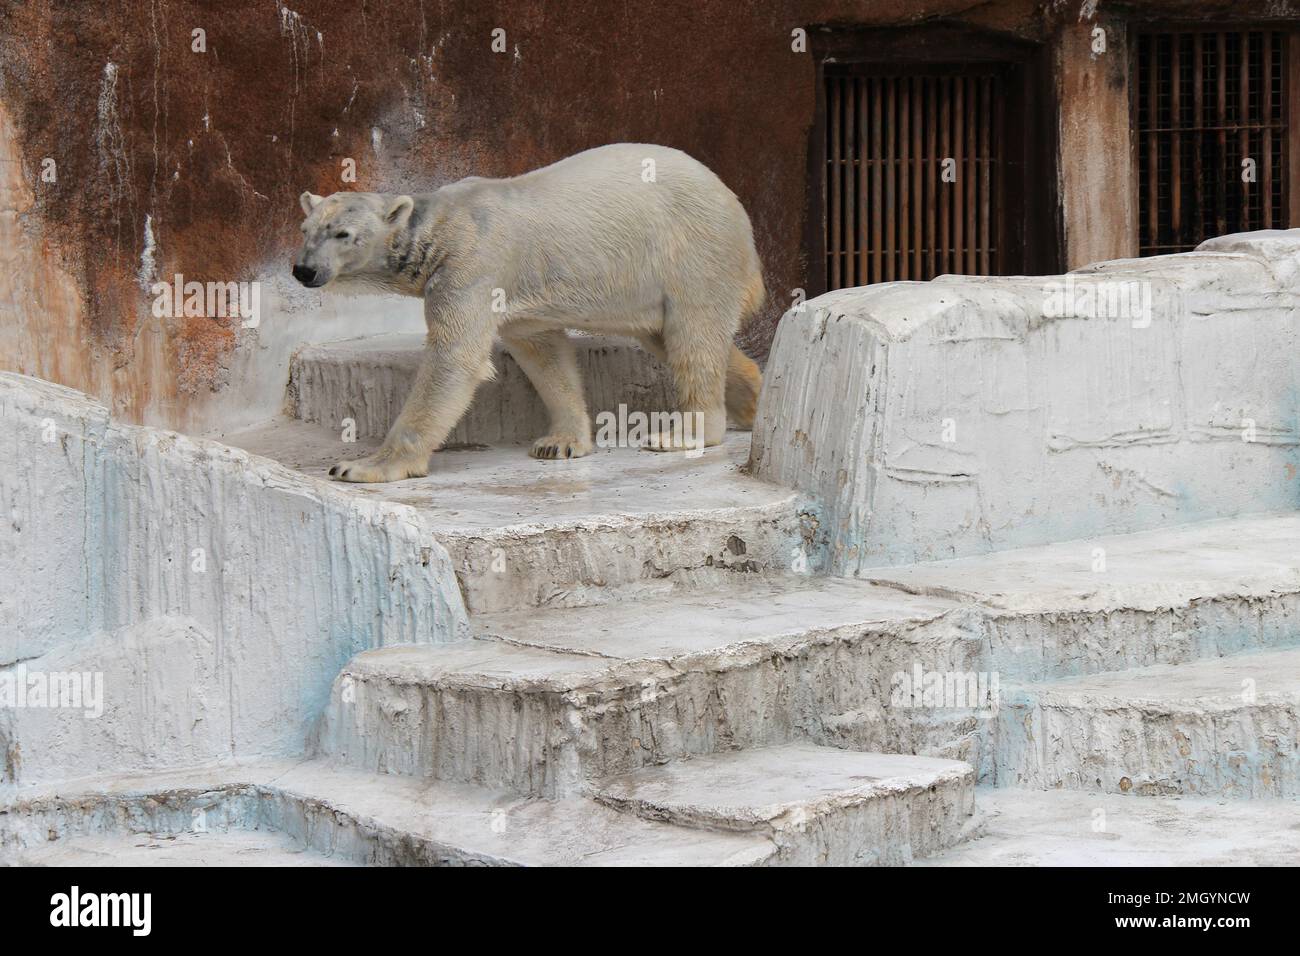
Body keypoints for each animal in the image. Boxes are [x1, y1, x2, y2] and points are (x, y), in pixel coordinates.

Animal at [293, 143, 764, 483]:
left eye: (343, 233)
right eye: (305, 230)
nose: (304, 269)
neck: (441, 225)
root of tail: (735, 205)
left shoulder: (472, 265)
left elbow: (455, 359)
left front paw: (363, 466)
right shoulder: (518, 293)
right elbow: (542, 352)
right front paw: (560, 442)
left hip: (694, 248)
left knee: (693, 334)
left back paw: (684, 432)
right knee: (670, 337)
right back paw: (752, 403)